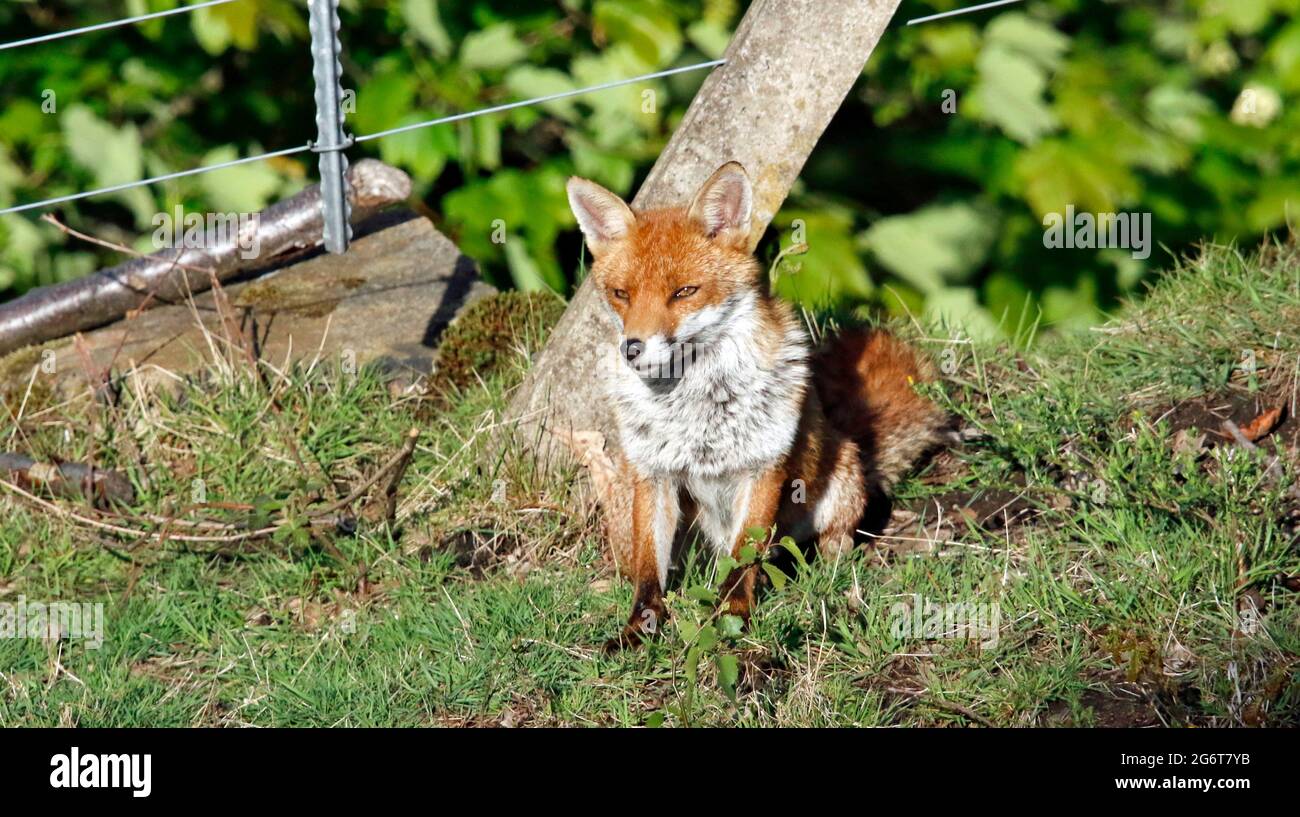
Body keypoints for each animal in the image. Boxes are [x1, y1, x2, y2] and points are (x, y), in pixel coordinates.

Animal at [565, 162, 949, 650]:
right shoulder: (653, 473)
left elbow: (743, 559)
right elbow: (649, 569)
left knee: (821, 547)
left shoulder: (764, 466)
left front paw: (733, 617)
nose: (632, 348)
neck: (695, 406)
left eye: (684, 292)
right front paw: (640, 627)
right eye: (621, 294)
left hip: (835, 489)